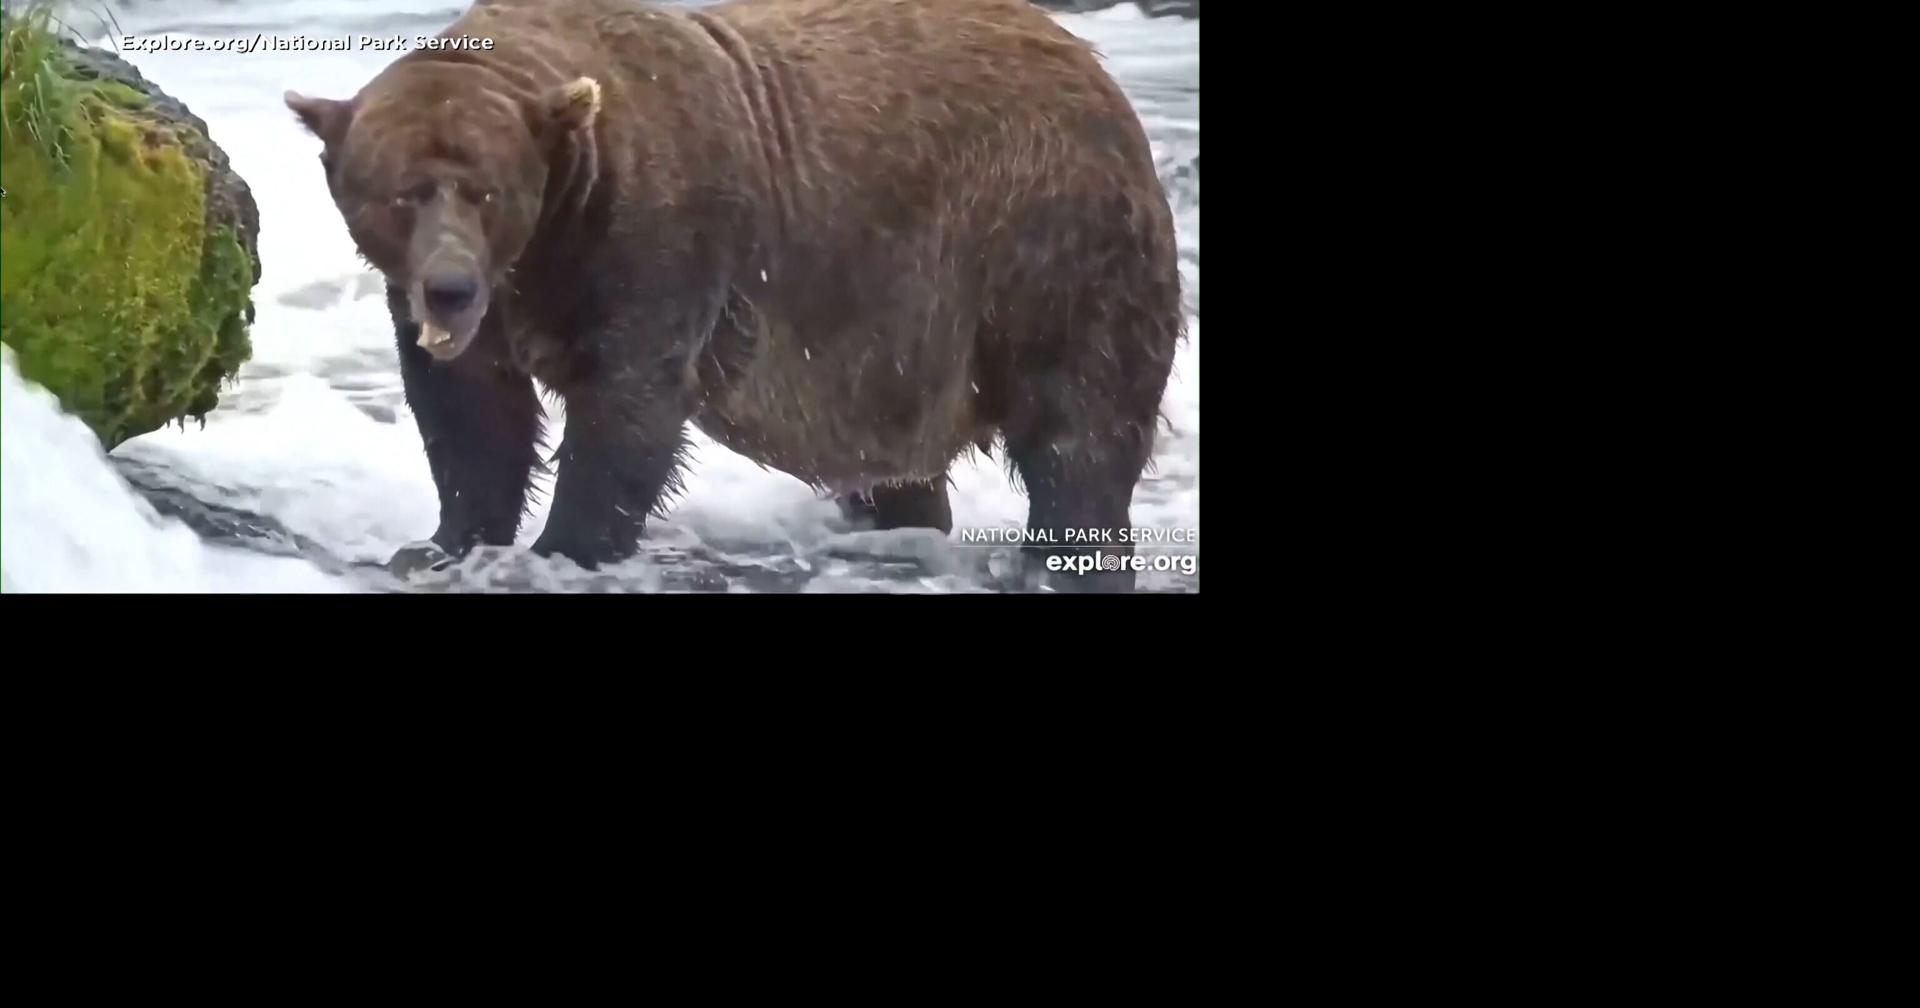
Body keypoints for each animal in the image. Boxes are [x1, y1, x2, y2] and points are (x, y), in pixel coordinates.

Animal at [285, 0, 1184, 592]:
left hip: (1041, 239)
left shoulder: (654, 242)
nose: (450, 288)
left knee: (1079, 427)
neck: (546, 246)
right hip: (900, 344)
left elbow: (627, 410)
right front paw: (442, 545)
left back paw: (1070, 556)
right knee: (899, 465)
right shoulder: (489, 307)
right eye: (401, 195)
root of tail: (1091, 61)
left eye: (485, 192)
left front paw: (561, 549)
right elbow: (473, 416)